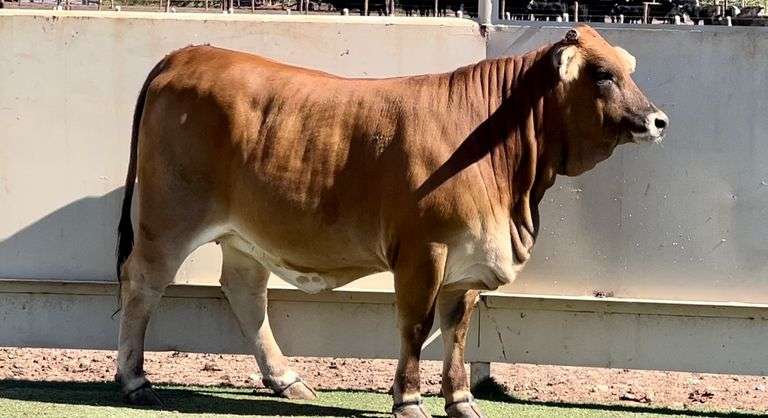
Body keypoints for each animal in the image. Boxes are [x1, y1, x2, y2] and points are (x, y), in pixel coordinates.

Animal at [114, 25, 668, 418]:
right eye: (602, 74)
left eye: (627, 69)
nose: (658, 120)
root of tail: (188, 53)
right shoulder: (424, 249)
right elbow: (416, 323)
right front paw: (409, 401)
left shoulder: (468, 260)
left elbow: (457, 329)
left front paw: (461, 402)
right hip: (168, 218)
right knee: (142, 283)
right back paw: (135, 380)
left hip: (244, 235)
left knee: (246, 294)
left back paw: (286, 379)